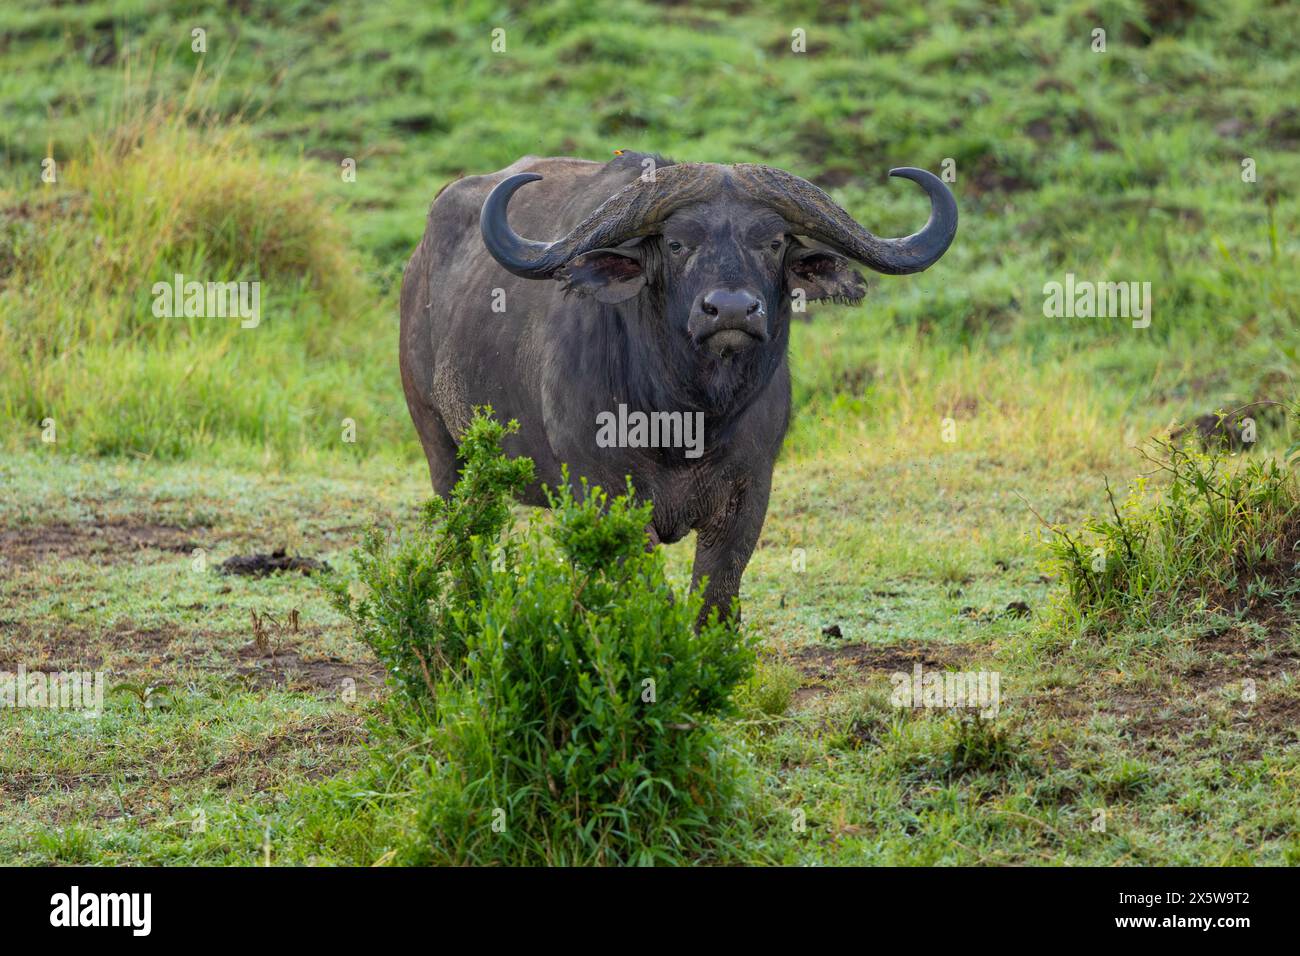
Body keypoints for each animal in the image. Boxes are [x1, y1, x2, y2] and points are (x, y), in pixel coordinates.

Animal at [400, 152, 957, 624]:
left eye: (773, 242)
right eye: (676, 243)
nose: (731, 310)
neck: (686, 416)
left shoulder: (749, 493)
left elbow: (715, 597)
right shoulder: (604, 493)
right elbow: (652, 592)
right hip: (442, 447)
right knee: (465, 539)